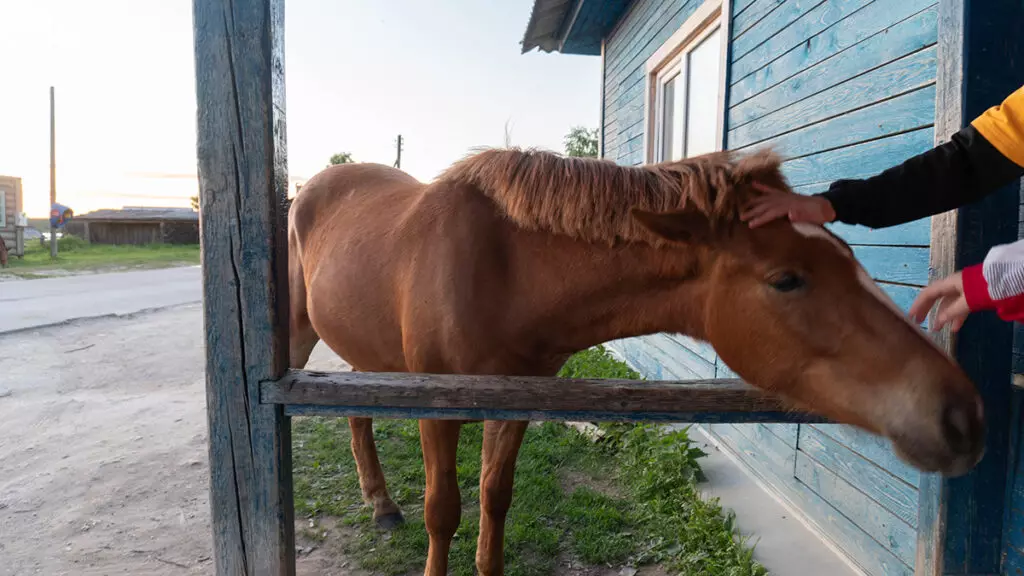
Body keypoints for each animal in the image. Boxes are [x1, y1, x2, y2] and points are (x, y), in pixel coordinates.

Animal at [288, 146, 983, 573]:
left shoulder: (516, 404)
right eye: (787, 279)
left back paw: (381, 502)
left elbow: (495, 499)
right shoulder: (438, 411)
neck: (499, 268)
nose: (962, 414)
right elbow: (444, 512)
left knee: (357, 413)